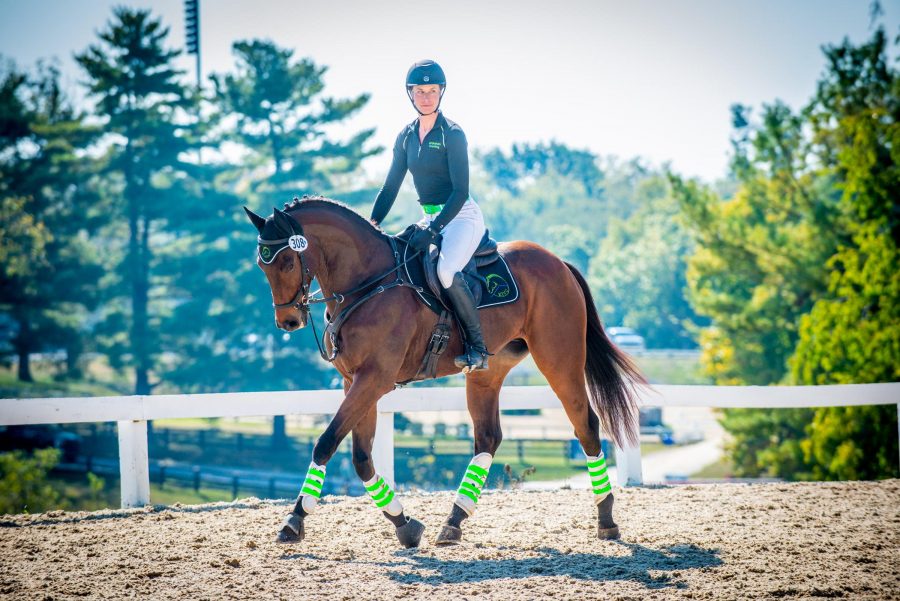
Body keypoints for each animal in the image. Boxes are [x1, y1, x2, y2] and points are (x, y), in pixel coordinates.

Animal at [244, 196, 644, 548]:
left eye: (287, 262)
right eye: (263, 266)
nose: (288, 321)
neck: (369, 282)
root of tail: (558, 262)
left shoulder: (374, 379)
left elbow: (326, 442)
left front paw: (294, 520)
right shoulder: (353, 382)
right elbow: (361, 458)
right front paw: (404, 524)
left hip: (559, 361)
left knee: (586, 425)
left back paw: (606, 519)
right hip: (487, 372)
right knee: (488, 437)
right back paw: (453, 521)